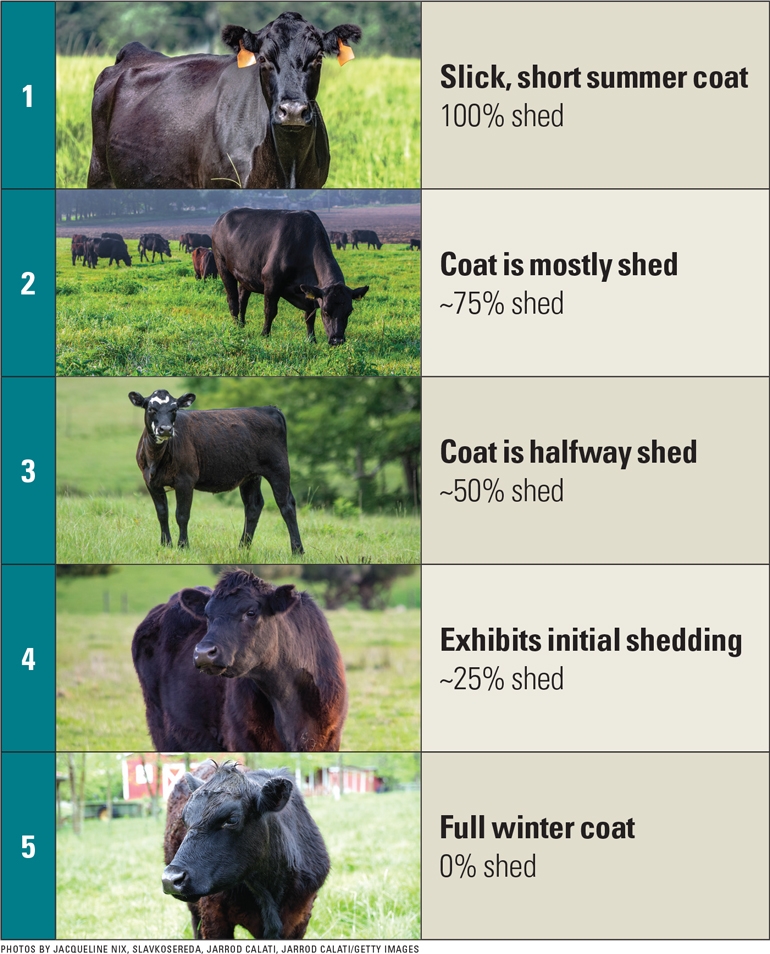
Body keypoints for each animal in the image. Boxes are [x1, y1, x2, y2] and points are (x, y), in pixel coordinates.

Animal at [87, 12, 362, 190]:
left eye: (318, 58)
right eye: (263, 58)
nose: (293, 110)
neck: (288, 164)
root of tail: (134, 51)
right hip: (99, 175)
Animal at [128, 389, 303, 553]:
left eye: (174, 409)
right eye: (151, 408)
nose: (165, 429)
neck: (155, 458)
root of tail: (269, 408)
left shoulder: (185, 480)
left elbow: (182, 515)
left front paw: (183, 545)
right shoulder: (151, 482)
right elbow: (162, 513)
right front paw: (166, 544)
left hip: (279, 468)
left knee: (286, 505)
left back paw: (297, 550)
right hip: (251, 476)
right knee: (253, 506)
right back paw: (243, 547)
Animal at [132, 569, 348, 752]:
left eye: (251, 612)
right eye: (207, 615)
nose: (203, 652)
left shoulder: (330, 739)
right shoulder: (242, 738)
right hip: (162, 726)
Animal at [211, 208, 369, 345]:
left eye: (349, 311)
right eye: (326, 311)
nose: (337, 340)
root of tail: (221, 218)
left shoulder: (309, 291)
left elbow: (309, 317)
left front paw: (311, 339)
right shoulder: (271, 282)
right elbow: (270, 311)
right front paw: (265, 334)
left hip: (246, 276)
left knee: (242, 300)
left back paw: (242, 325)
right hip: (223, 267)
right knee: (232, 301)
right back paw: (236, 327)